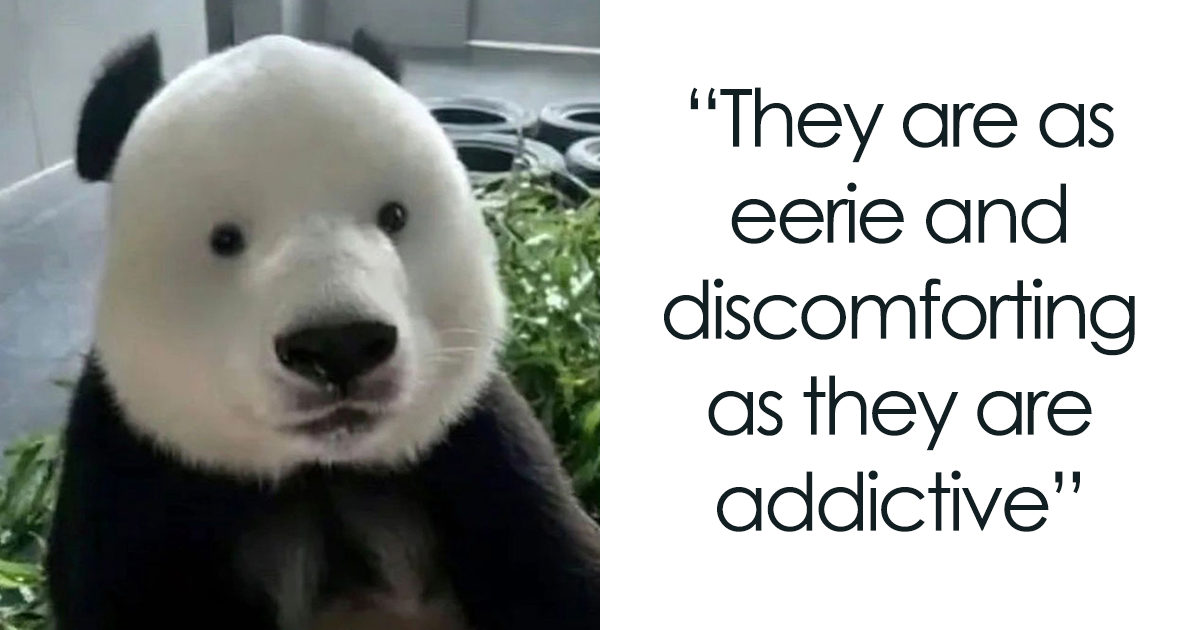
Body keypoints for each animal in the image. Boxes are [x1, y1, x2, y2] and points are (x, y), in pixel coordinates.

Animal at [45, 30, 599, 630]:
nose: (340, 346)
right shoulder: (130, 472)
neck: (321, 469)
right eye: (225, 239)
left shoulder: (478, 444)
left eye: (394, 216)